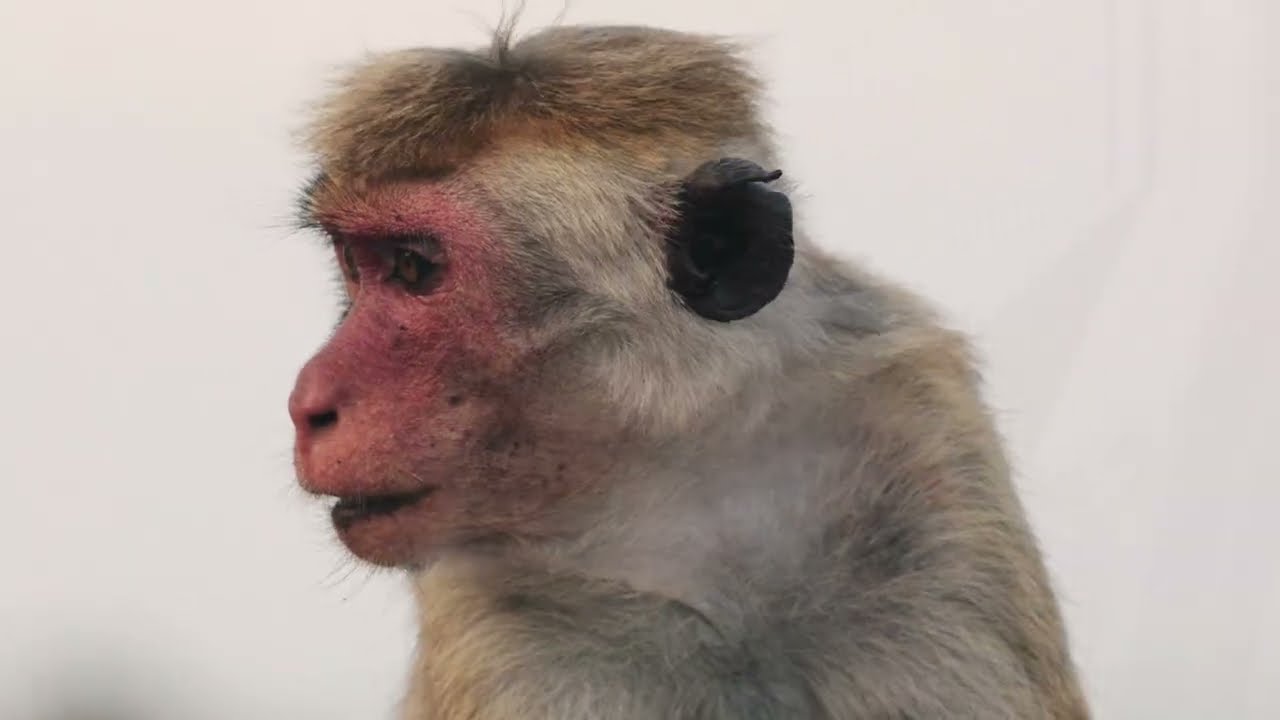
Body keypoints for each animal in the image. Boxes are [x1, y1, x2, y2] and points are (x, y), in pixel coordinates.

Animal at [287, 23, 1091, 720]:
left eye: (412, 267)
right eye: (354, 265)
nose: (306, 404)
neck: (697, 503)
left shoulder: (930, 470)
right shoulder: (510, 626)